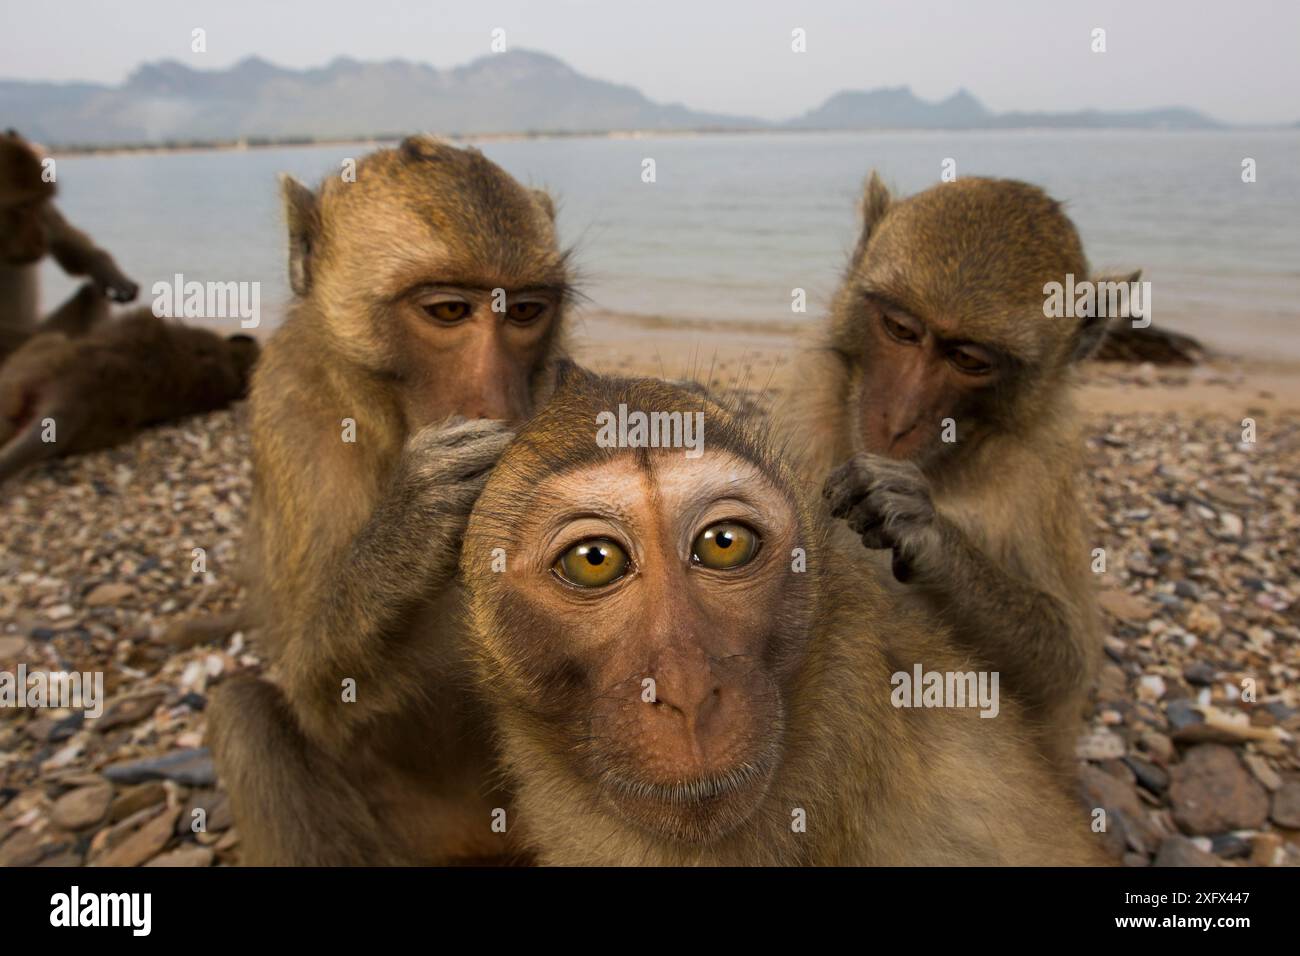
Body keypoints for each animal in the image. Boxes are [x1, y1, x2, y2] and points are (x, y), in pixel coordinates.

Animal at [0, 130, 138, 358]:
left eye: (40, 204)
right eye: (24, 206)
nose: (41, 239)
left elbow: (63, 240)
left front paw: (107, 270)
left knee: (91, 294)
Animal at [206, 135, 573, 865]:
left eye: (524, 311)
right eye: (448, 312)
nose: (497, 404)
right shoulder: (290, 418)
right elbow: (321, 706)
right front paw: (416, 518)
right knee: (246, 718)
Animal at [783, 173, 1132, 773]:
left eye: (968, 360)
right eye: (900, 329)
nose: (898, 418)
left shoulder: (1038, 473)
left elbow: (1068, 665)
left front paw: (924, 532)